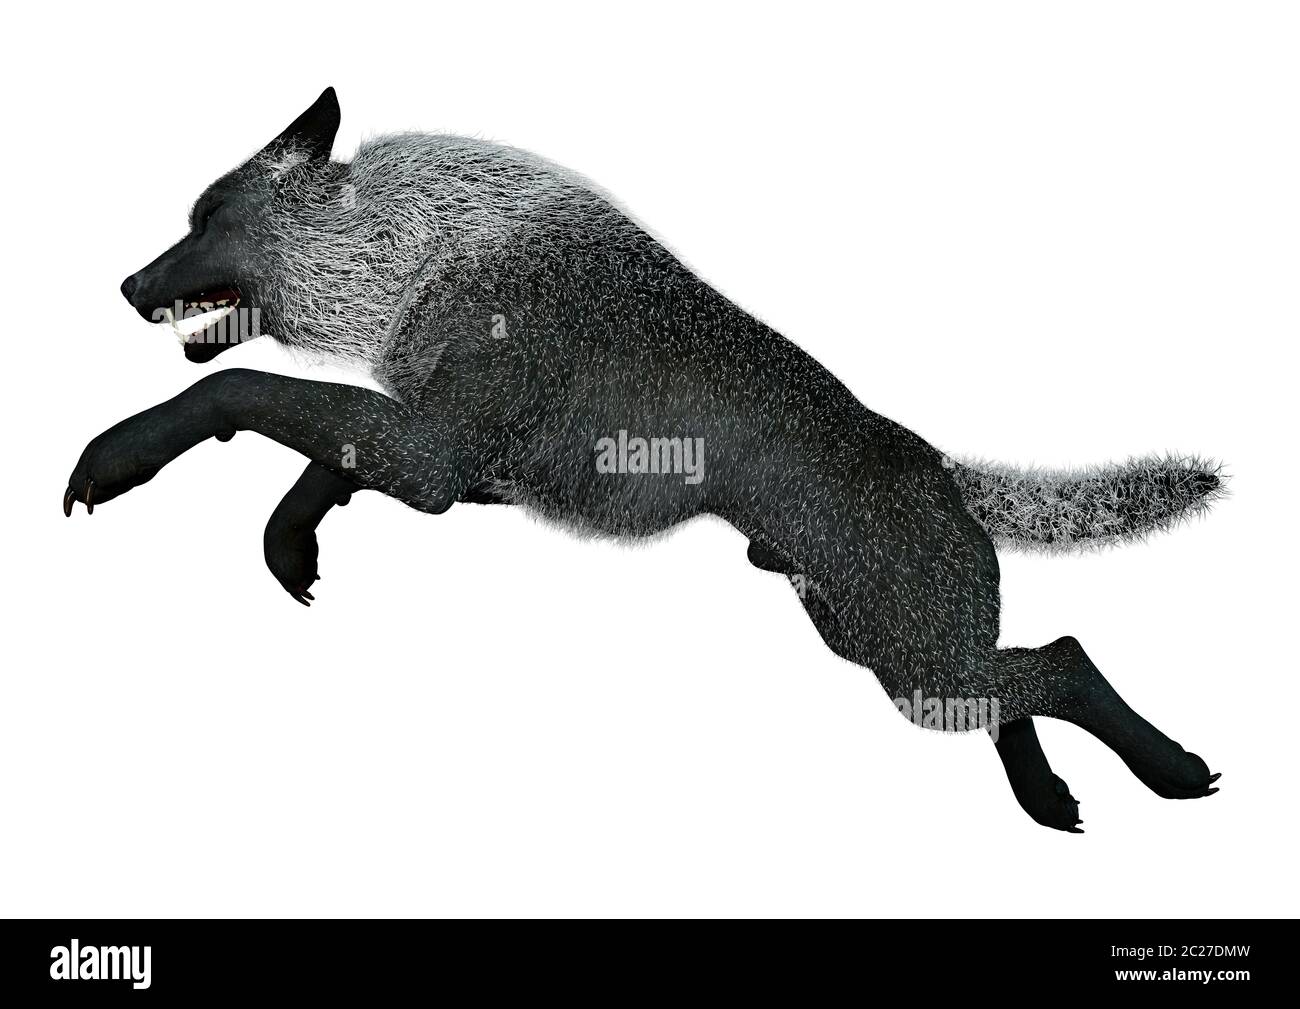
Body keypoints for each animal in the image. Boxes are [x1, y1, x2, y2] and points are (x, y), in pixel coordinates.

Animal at [69, 88, 1226, 831]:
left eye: (206, 221)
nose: (126, 286)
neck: (414, 252)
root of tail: (938, 462)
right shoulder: (443, 458)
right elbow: (318, 455)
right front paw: (289, 543)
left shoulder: (435, 460)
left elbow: (234, 392)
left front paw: (114, 456)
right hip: (882, 650)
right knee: (1019, 680)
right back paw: (1048, 800)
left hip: (907, 666)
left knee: (1060, 658)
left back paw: (1172, 772)